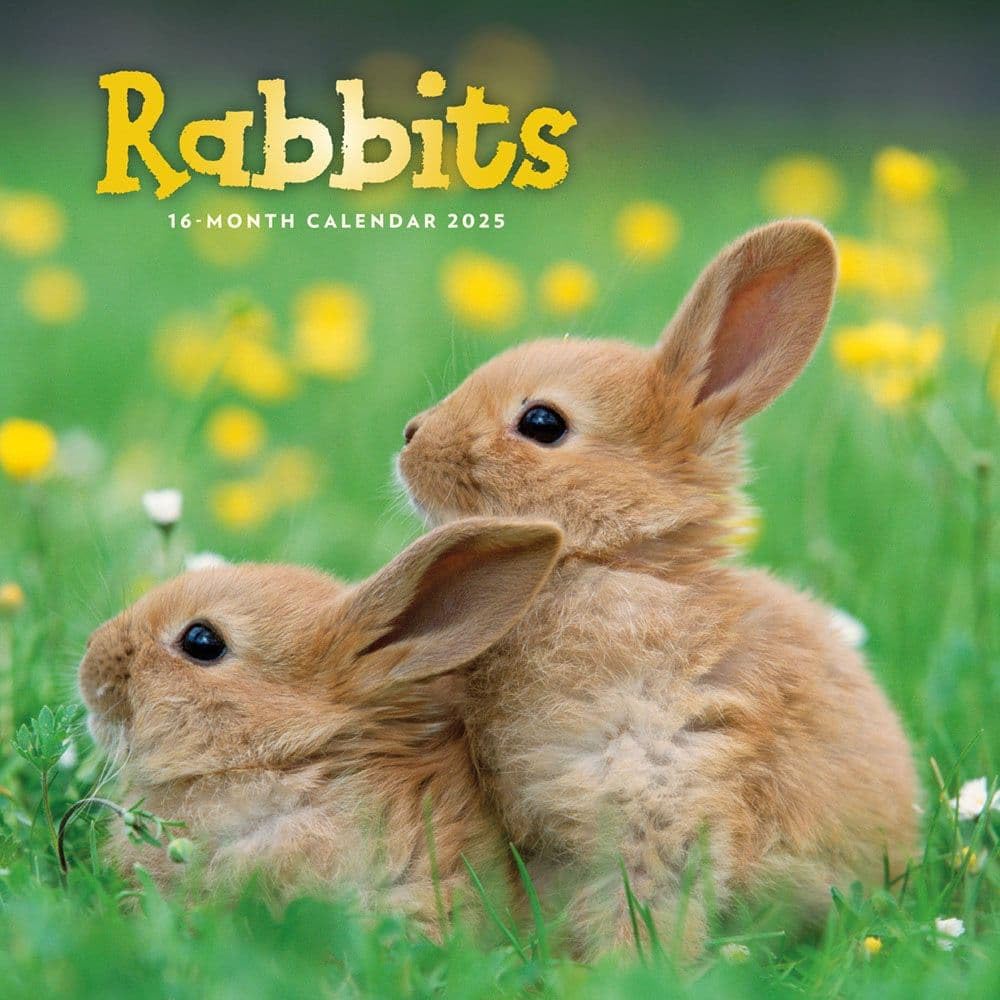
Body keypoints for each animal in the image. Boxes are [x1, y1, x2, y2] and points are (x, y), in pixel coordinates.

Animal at [397, 220, 918, 955]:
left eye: (542, 424)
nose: (410, 438)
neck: (615, 565)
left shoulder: (663, 788)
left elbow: (648, 897)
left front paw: (628, 967)